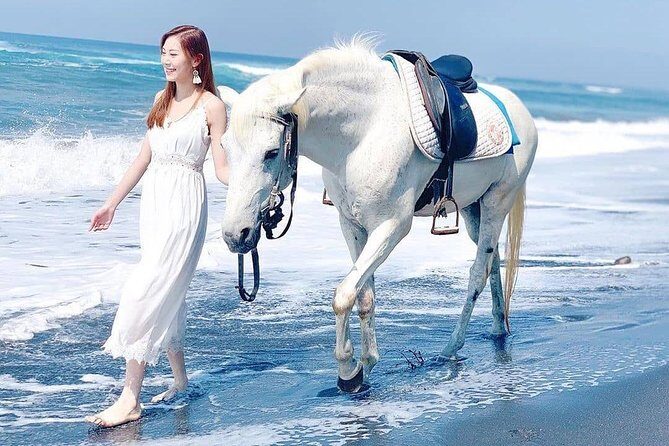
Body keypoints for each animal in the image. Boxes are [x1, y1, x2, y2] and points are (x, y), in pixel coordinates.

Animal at [219, 38, 538, 392]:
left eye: (271, 152)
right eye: (224, 148)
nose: (235, 235)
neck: (363, 132)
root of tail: (519, 108)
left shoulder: (392, 226)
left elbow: (344, 295)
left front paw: (348, 371)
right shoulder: (352, 225)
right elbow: (363, 294)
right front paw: (367, 365)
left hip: (497, 202)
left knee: (477, 274)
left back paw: (451, 348)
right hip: (473, 210)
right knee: (493, 261)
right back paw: (498, 328)